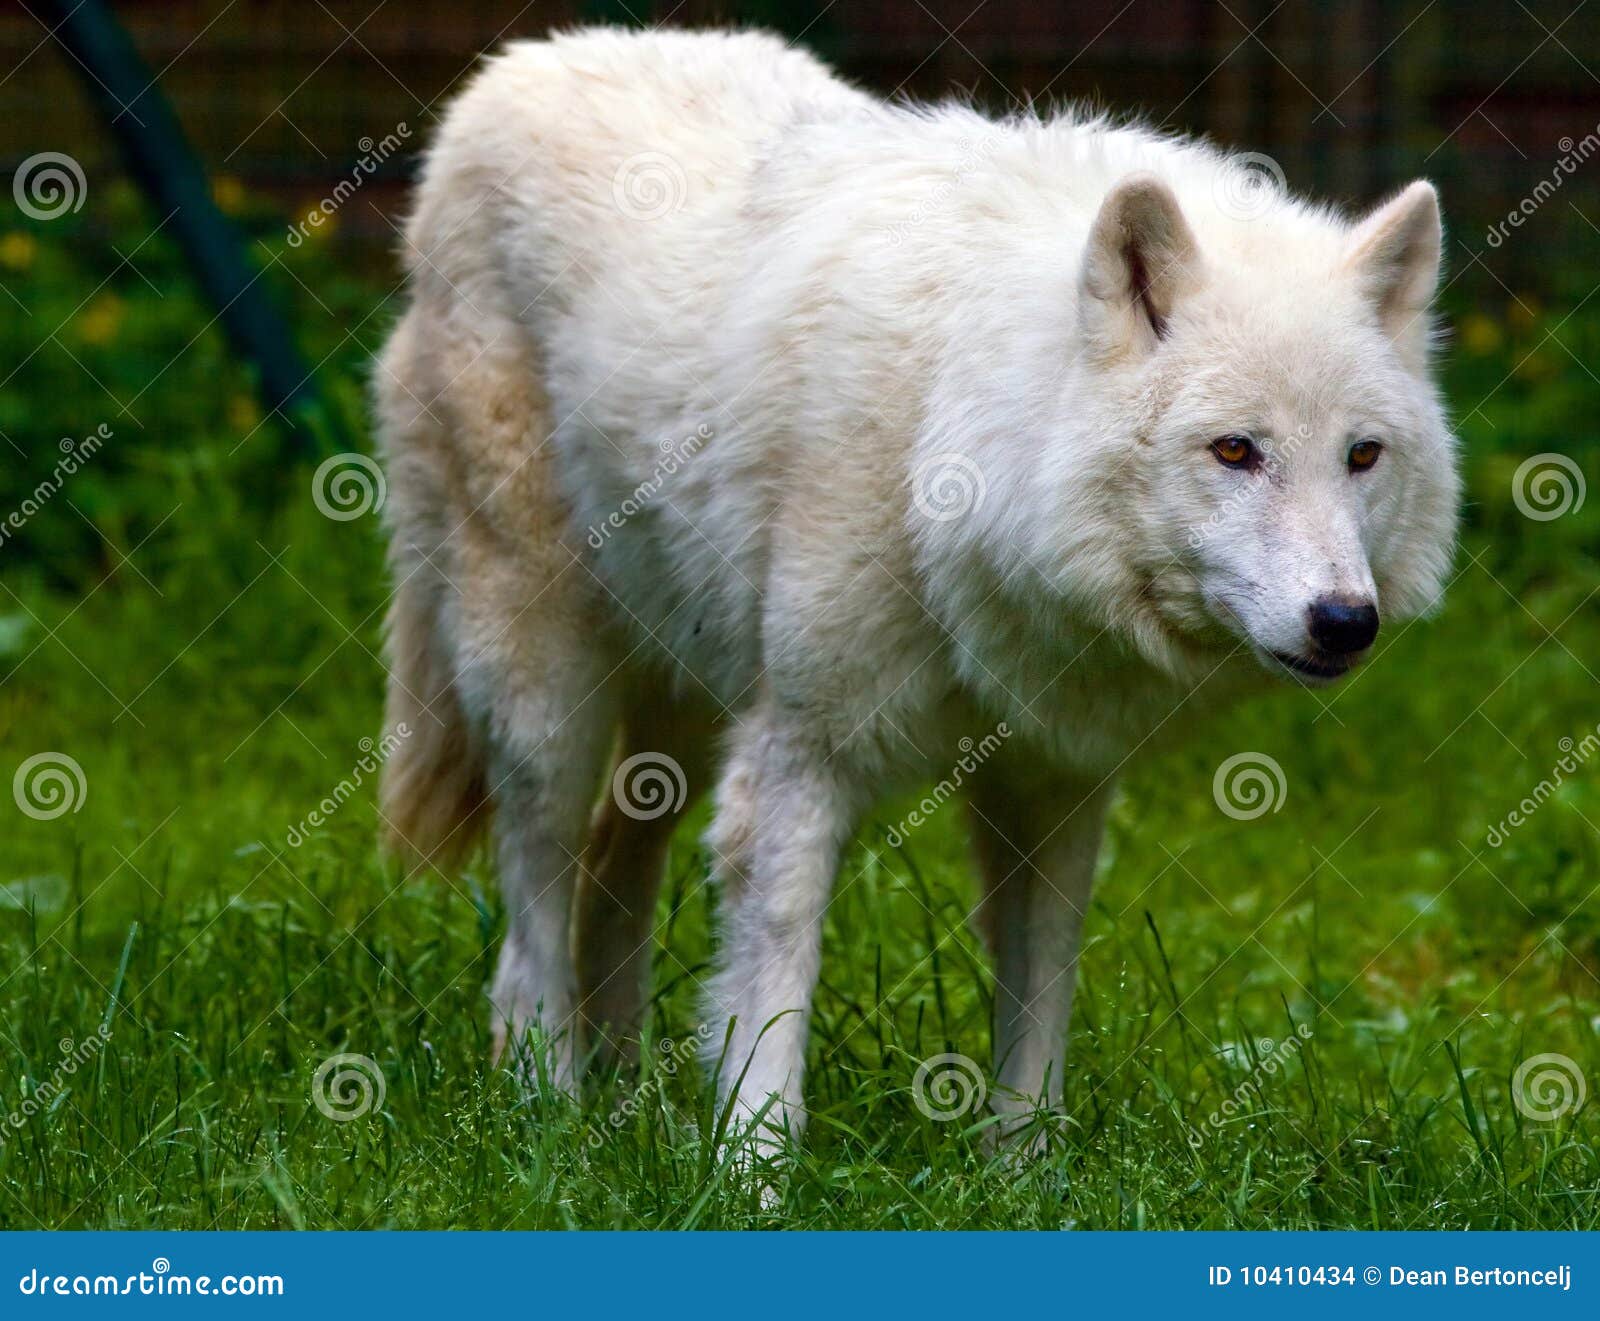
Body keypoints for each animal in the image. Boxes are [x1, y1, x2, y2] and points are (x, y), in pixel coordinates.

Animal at [374, 26, 1458, 1145]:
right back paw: (547, 1111)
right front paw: (750, 1168)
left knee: (607, 870)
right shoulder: (798, 754)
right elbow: (769, 1007)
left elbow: (1038, 1008)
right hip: (548, 694)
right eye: (1235, 450)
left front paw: (1024, 1169)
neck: (948, 431)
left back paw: (623, 1108)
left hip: (680, 700)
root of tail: (518, 65)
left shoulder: (1053, 782)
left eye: (1362, 456)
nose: (1345, 622)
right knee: (533, 909)